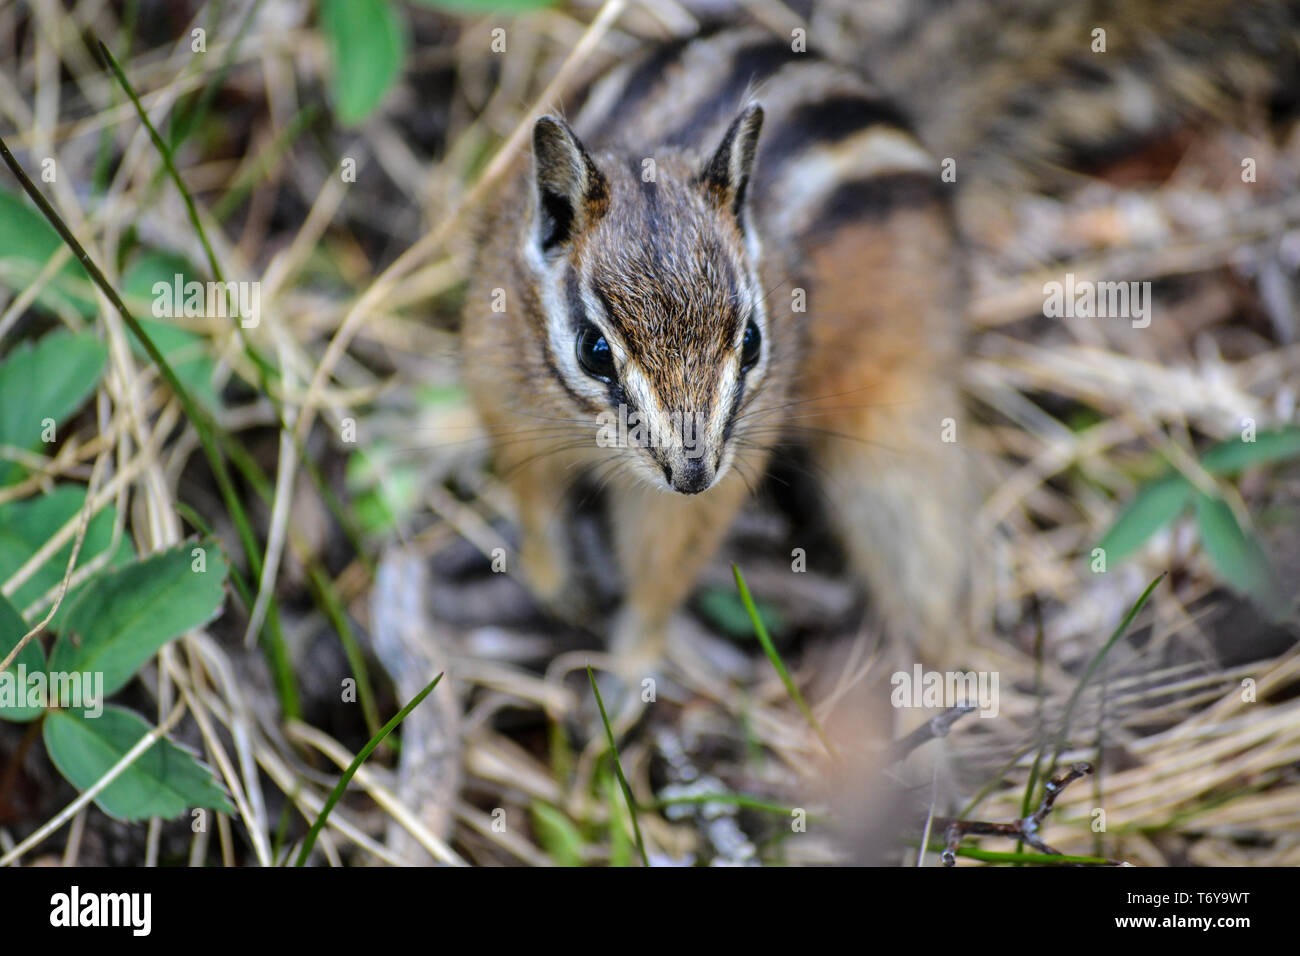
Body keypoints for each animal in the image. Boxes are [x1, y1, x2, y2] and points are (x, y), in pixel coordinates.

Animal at [460, 3, 1300, 671]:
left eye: (755, 341)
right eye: (594, 350)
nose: (694, 470)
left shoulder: (720, 470)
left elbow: (667, 564)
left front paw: (632, 663)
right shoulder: (499, 387)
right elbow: (528, 490)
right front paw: (550, 576)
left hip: (898, 433)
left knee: (920, 548)